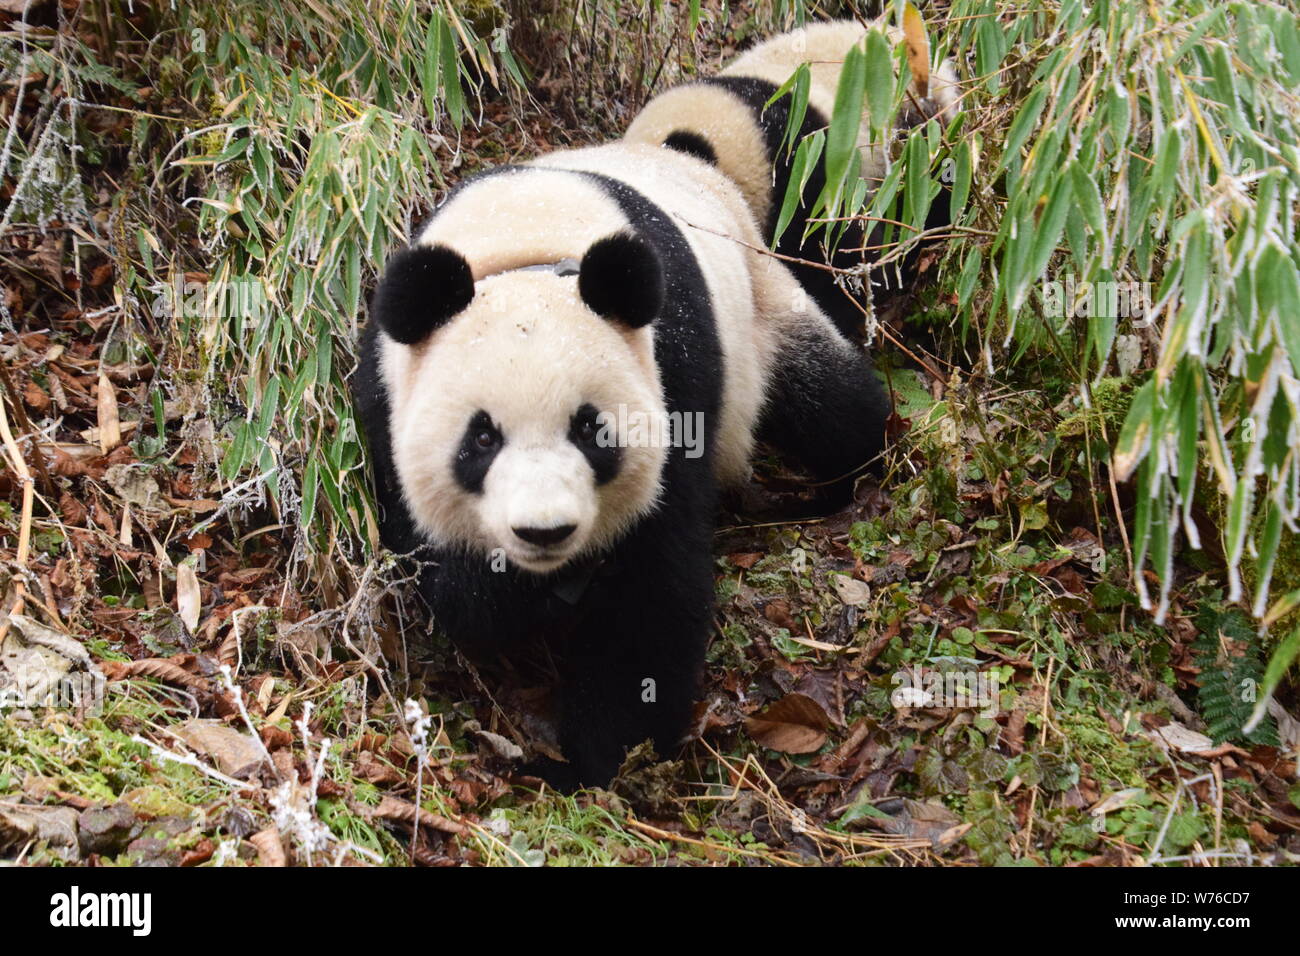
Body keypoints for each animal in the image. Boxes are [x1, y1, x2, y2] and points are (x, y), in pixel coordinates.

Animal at [353, 142, 888, 789]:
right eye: (481, 437)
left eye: (589, 429)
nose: (545, 531)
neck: (522, 247)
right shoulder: (384, 401)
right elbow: (438, 581)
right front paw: (524, 593)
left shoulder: (674, 373)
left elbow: (650, 592)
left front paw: (599, 764)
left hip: (760, 303)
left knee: (830, 404)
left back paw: (847, 478)